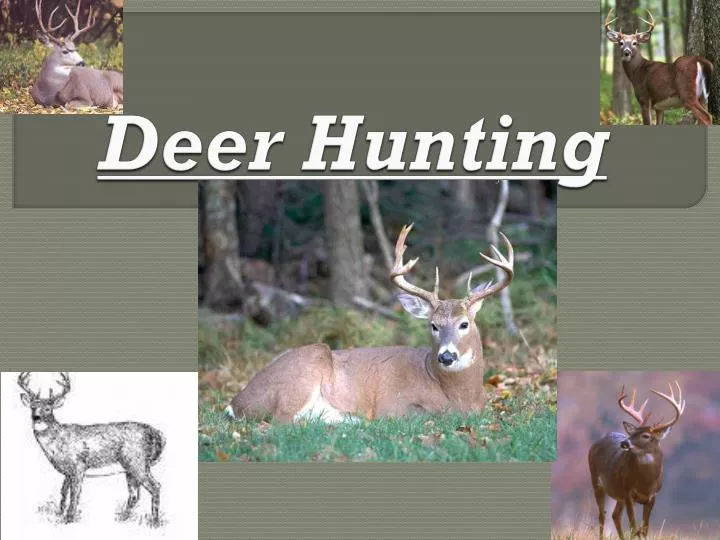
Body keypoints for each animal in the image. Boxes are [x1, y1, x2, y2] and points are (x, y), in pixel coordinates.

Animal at [17, 372, 165, 526]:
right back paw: (123, 518)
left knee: (155, 486)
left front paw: (69, 518)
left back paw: (154, 522)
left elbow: (75, 494)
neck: (58, 444)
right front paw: (60, 513)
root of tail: (157, 434)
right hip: (130, 468)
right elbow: (63, 491)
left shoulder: (78, 466)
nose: (36, 417)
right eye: (33, 407)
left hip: (137, 462)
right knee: (134, 494)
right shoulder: (67, 472)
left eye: (48, 408)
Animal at [226, 223, 513, 423]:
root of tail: (235, 404)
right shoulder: (394, 405)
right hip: (307, 365)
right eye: (433, 325)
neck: (459, 395)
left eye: (464, 324)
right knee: (281, 420)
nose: (446, 356)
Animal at [588, 381, 686, 539]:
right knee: (602, 515)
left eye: (646, 436)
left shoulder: (652, 497)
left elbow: (644, 529)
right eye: (632, 433)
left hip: (618, 494)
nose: (624, 443)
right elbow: (634, 528)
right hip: (596, 482)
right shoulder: (629, 494)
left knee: (615, 515)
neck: (645, 484)